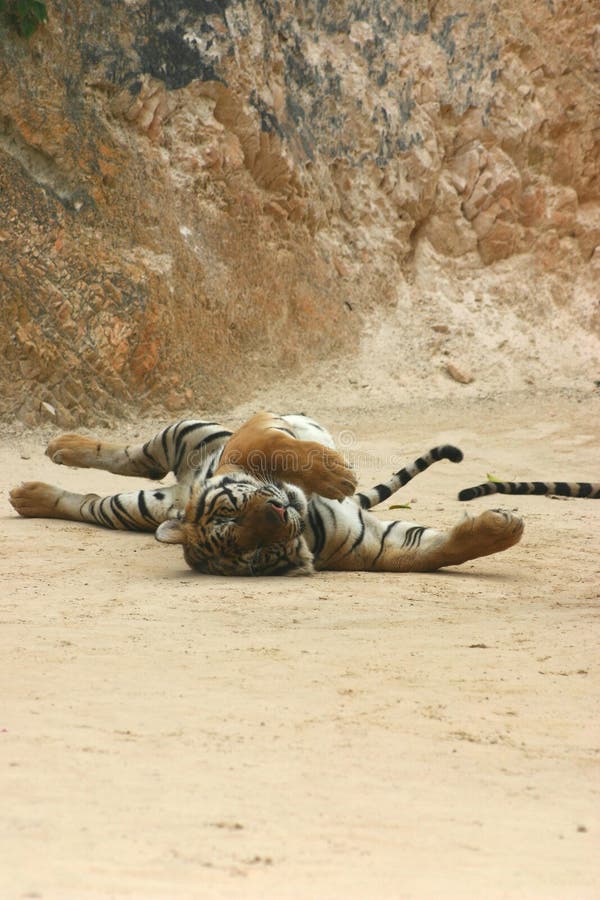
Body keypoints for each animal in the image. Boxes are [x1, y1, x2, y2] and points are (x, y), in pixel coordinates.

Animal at [9, 411, 524, 576]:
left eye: (232, 508)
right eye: (252, 552)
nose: (279, 511)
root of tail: (181, 494)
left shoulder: (250, 436)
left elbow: (275, 446)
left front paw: (336, 475)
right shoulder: (377, 546)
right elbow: (429, 551)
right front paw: (506, 529)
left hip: (185, 432)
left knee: (134, 456)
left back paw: (59, 446)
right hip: (134, 505)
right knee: (92, 500)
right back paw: (28, 494)